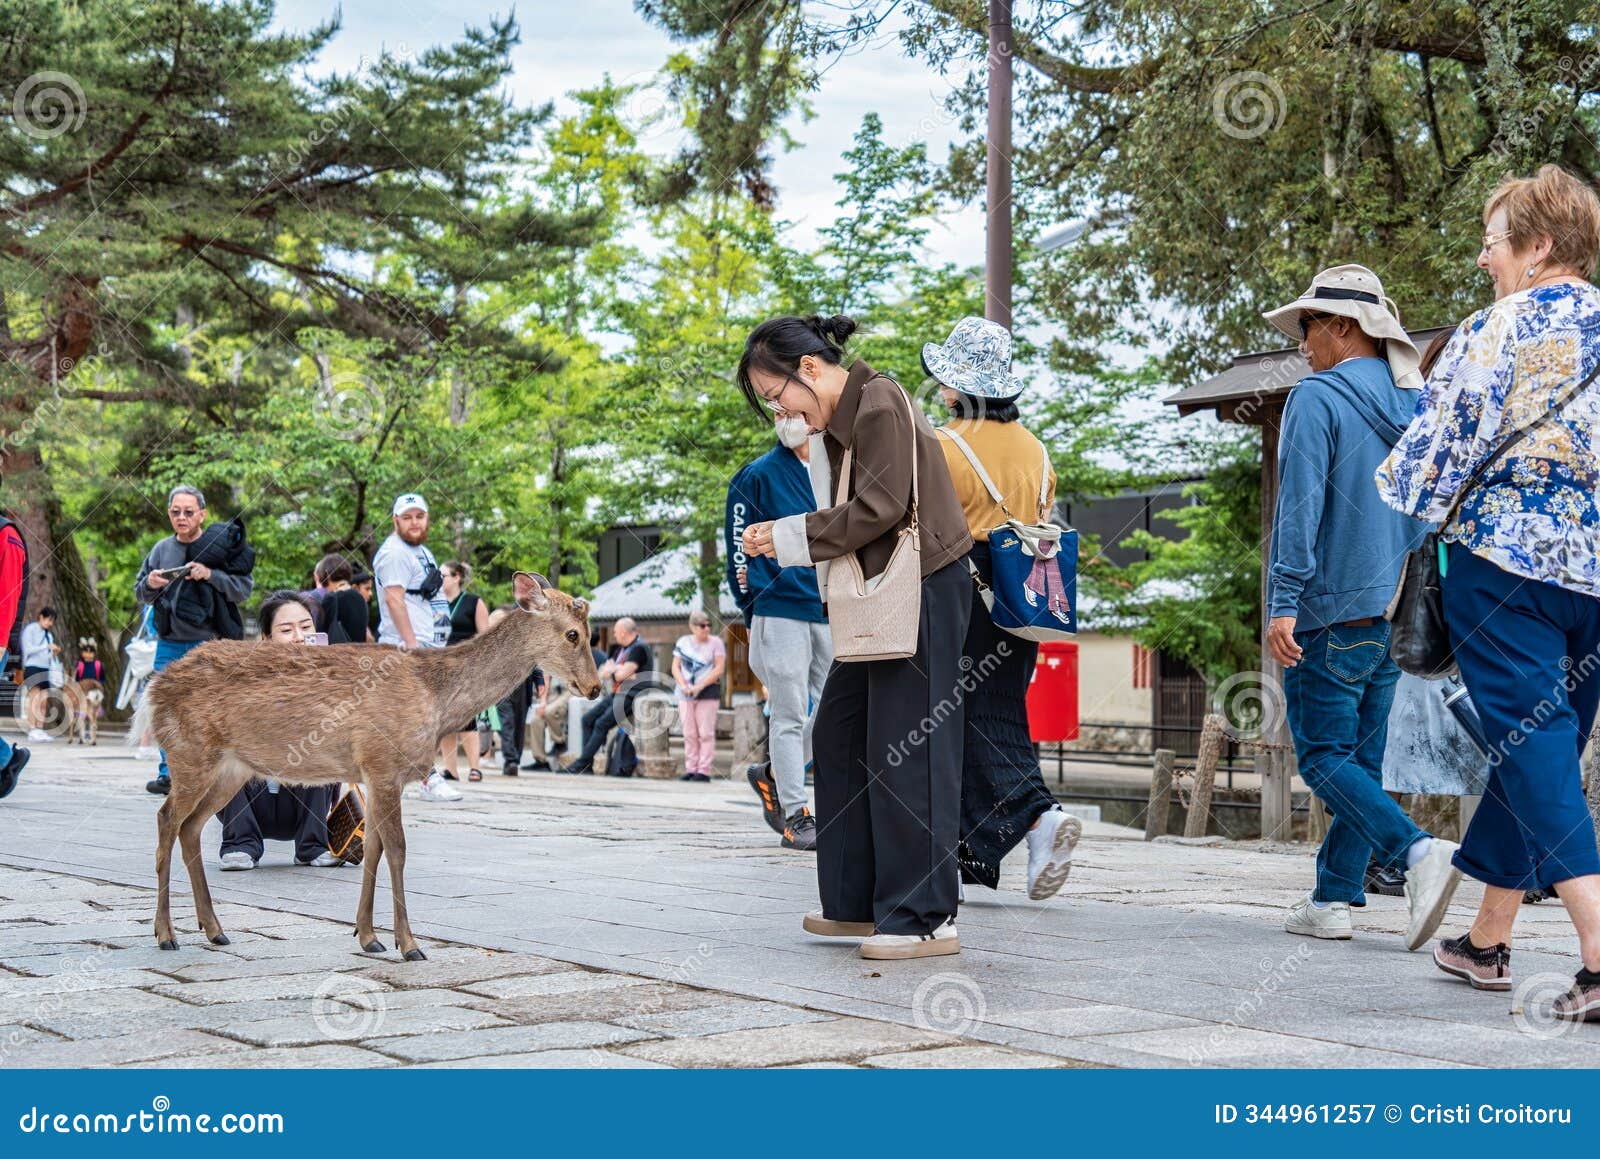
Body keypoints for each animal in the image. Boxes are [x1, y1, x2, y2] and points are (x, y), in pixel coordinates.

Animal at [142, 572, 601, 961]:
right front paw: (410, 944)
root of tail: (153, 689)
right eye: (573, 633)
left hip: (231, 768)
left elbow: (375, 849)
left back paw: (215, 930)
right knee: (166, 819)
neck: (435, 697)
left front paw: (368, 937)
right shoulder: (381, 762)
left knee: (190, 827)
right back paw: (166, 935)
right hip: (189, 752)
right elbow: (397, 849)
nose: (595, 687)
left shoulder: (376, 774)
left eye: (590, 632)